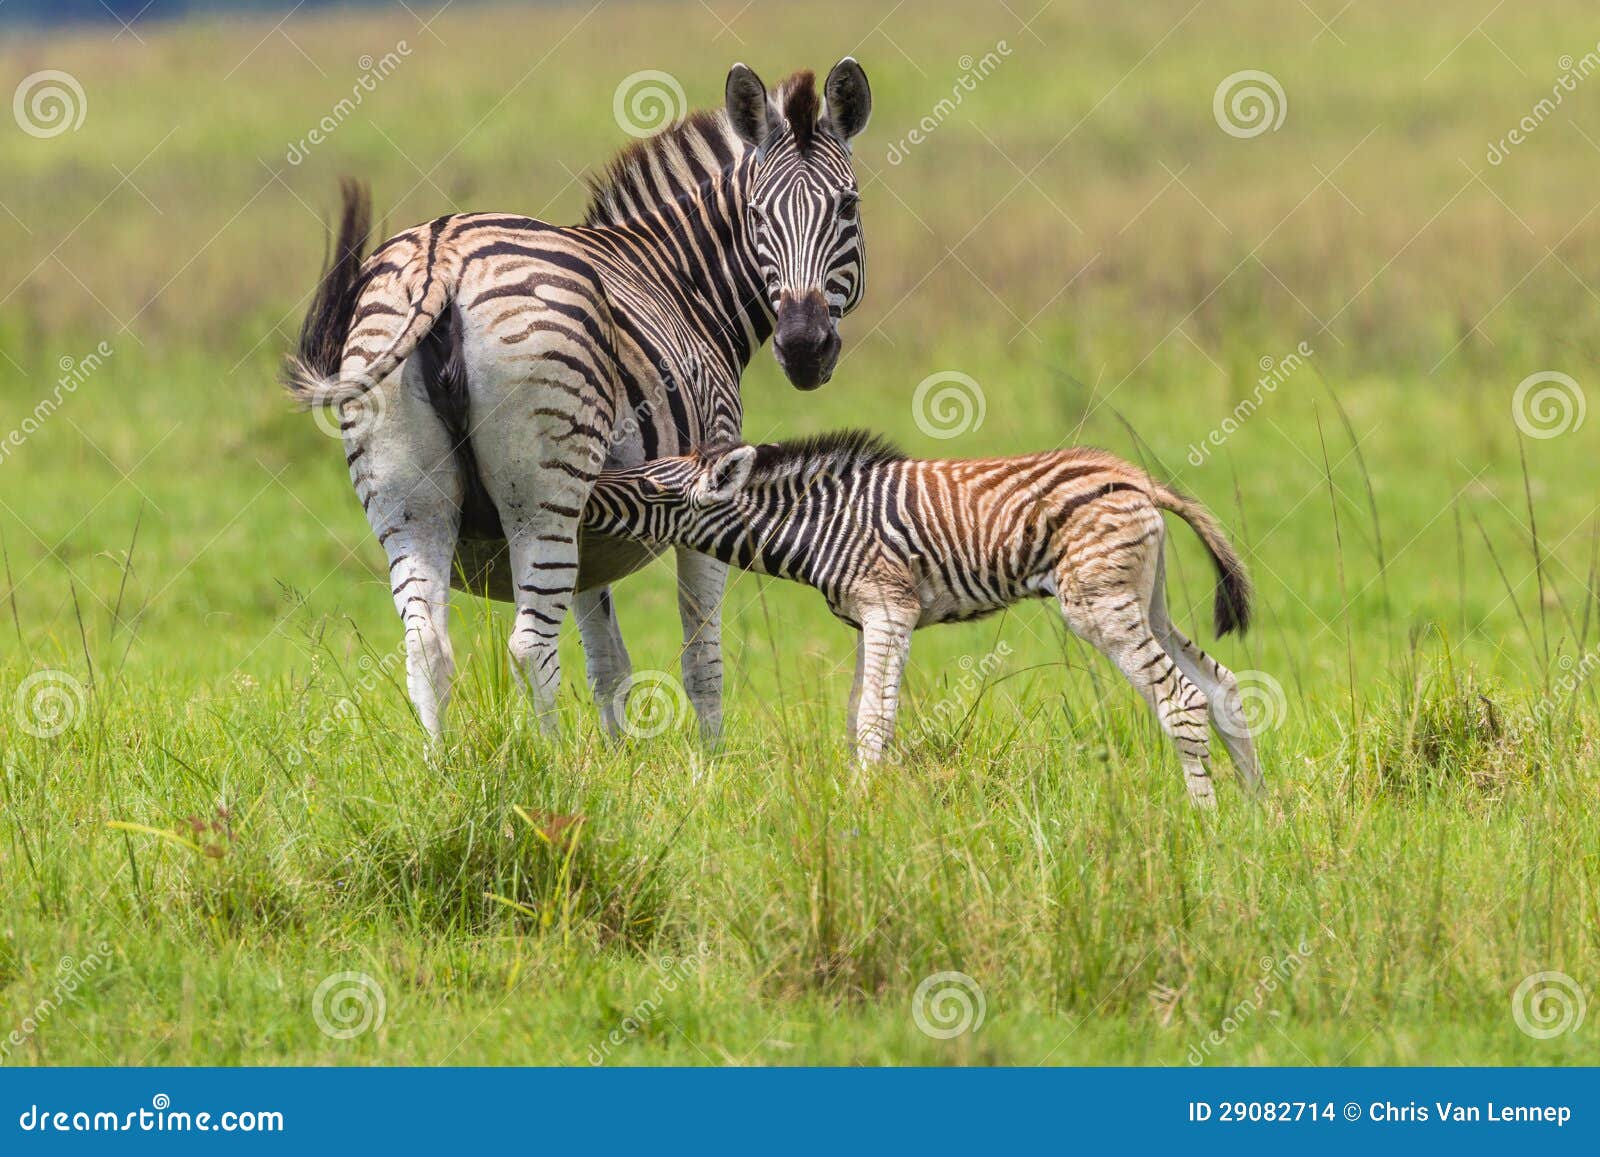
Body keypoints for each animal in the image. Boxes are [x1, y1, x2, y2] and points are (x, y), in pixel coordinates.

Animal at [282, 61, 872, 741]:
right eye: (756, 213)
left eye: (848, 204)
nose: (804, 348)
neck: (681, 278)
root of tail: (442, 255)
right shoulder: (708, 488)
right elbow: (701, 659)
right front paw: (710, 759)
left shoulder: (598, 525)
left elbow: (607, 662)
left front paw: (617, 757)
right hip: (545, 492)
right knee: (528, 646)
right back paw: (551, 761)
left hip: (407, 495)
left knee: (426, 647)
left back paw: (441, 764)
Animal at [582, 431, 1265, 806]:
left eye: (650, 489)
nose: (588, 491)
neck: (819, 525)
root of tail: (1138, 480)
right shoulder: (867, 617)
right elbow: (859, 716)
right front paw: (857, 804)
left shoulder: (891, 608)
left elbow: (873, 723)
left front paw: (861, 812)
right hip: (1143, 600)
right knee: (1222, 686)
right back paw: (1255, 817)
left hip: (1098, 605)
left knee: (1181, 699)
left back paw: (1203, 824)